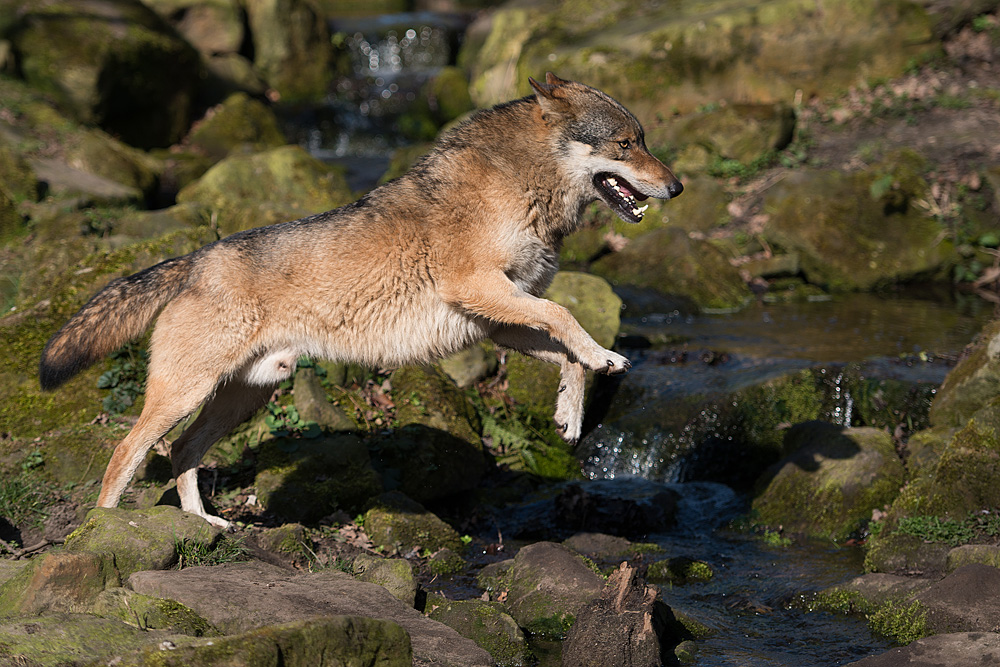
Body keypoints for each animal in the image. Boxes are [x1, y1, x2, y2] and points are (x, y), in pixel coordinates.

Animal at [39, 73, 683, 527]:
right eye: (626, 144)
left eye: (644, 141)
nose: (677, 187)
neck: (521, 183)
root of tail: (194, 260)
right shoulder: (479, 291)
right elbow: (566, 315)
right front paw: (606, 357)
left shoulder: (497, 321)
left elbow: (566, 350)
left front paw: (570, 414)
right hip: (187, 393)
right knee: (126, 453)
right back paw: (105, 536)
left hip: (243, 396)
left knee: (181, 452)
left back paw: (204, 525)